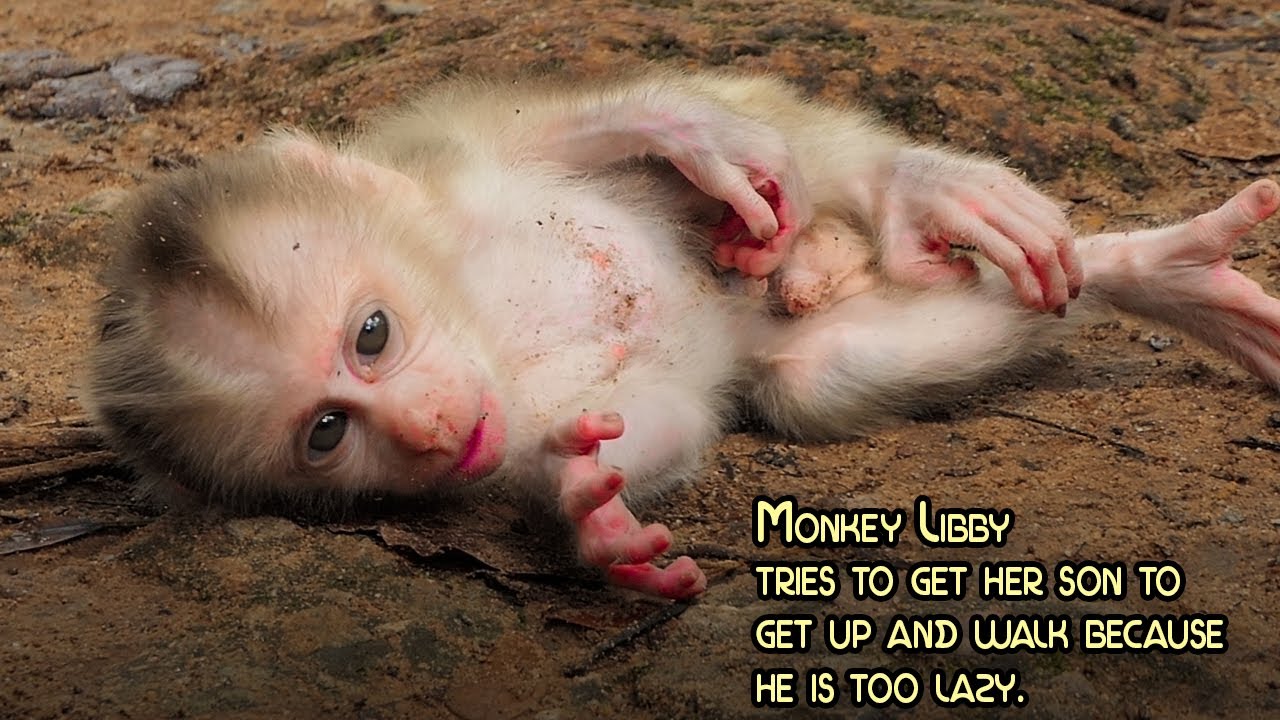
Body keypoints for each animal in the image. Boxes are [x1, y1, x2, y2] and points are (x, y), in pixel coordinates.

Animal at [83, 70, 1280, 599]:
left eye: (371, 332)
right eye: (327, 433)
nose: (423, 425)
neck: (476, 312)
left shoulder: (450, 167)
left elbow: (571, 128)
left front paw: (684, 131)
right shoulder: (497, 436)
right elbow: (631, 427)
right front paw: (587, 516)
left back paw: (932, 198)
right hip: (812, 350)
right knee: (819, 376)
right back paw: (1170, 279)